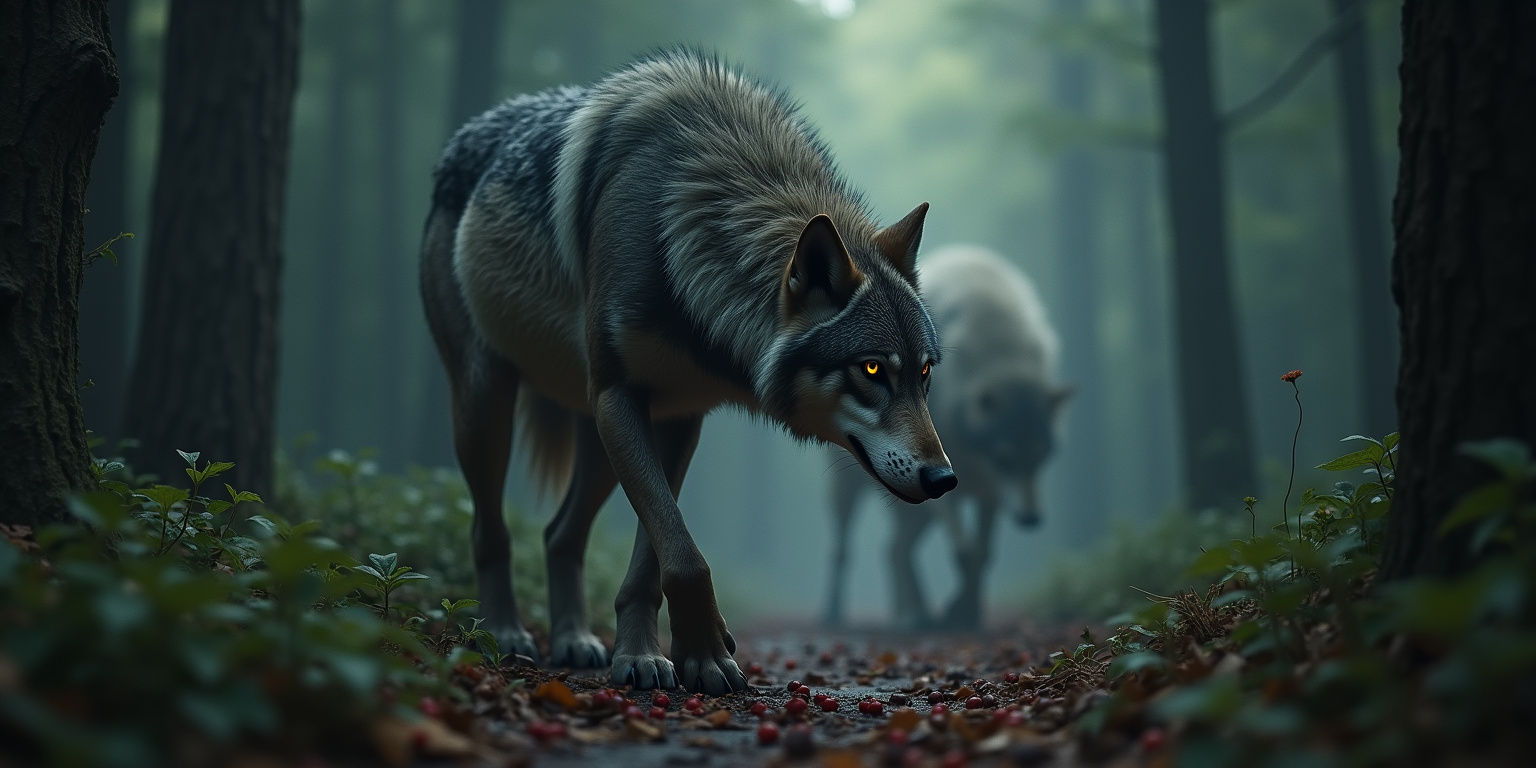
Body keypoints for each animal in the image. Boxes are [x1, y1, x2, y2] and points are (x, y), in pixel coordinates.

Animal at [419, 51, 955, 694]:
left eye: (924, 374)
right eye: (872, 368)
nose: (944, 479)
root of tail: (458, 142)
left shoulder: (678, 415)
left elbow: (655, 558)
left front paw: (661, 655)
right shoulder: (621, 396)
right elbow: (683, 554)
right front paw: (696, 653)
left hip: (594, 445)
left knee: (558, 535)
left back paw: (574, 639)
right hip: (488, 409)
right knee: (490, 531)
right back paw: (503, 632)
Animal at [821, 245, 1069, 631]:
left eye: (1041, 457)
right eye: (1005, 457)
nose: (1031, 520)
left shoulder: (991, 490)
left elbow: (983, 554)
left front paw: (966, 612)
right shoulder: (951, 484)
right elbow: (964, 552)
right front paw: (959, 613)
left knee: (895, 549)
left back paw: (914, 612)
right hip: (853, 494)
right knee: (844, 549)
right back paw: (839, 613)